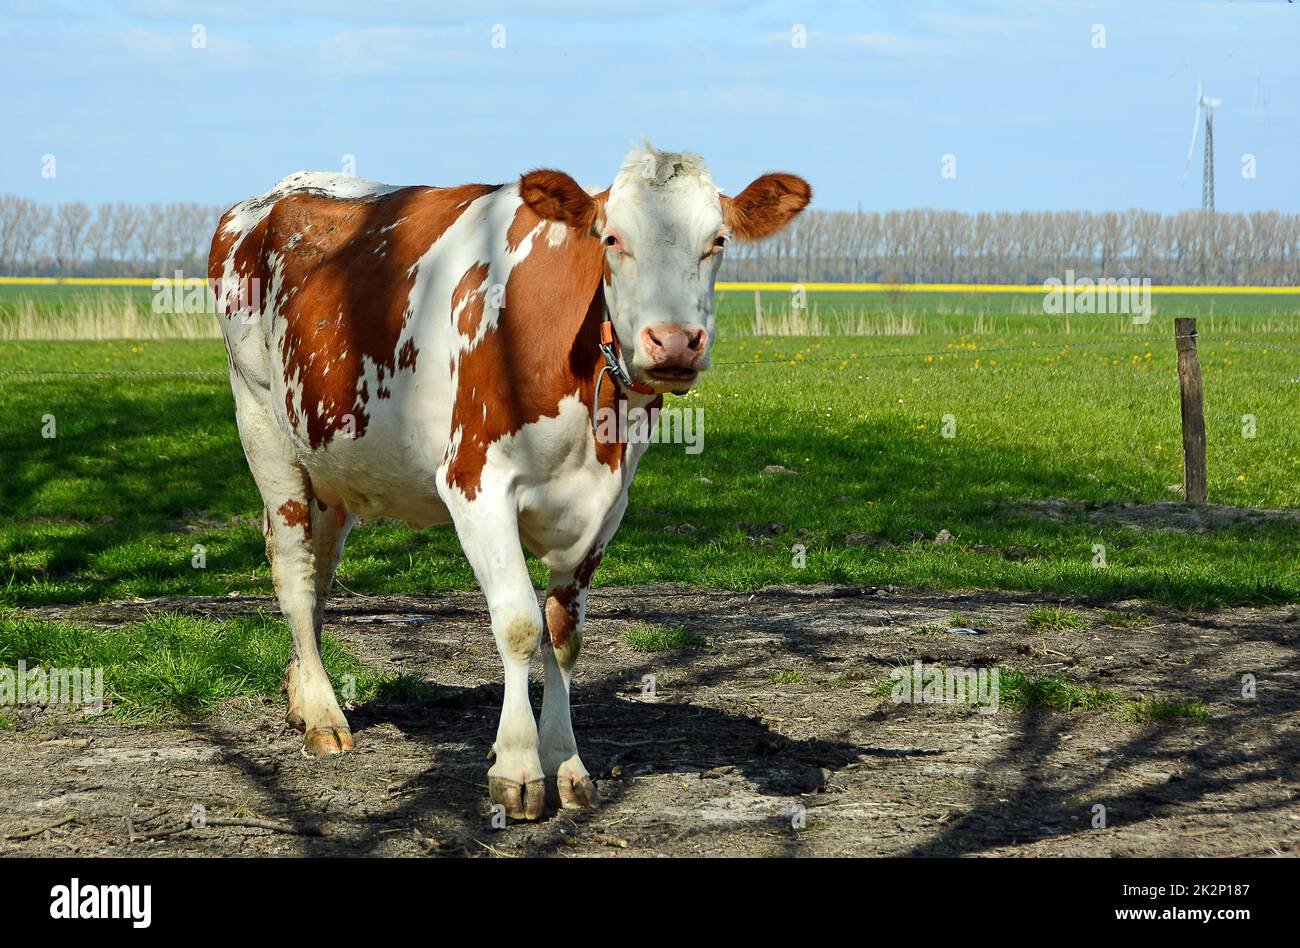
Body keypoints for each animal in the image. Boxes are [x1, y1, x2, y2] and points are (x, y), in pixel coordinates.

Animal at [209, 144, 810, 819]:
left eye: (718, 239)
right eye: (611, 237)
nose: (676, 342)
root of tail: (268, 197)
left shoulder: (607, 504)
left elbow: (565, 637)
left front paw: (567, 763)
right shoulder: (475, 482)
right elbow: (520, 624)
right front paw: (518, 768)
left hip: (334, 461)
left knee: (319, 573)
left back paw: (299, 693)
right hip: (262, 423)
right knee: (293, 572)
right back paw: (320, 714)